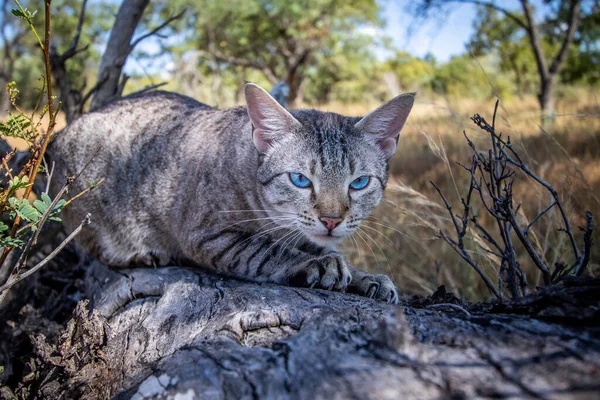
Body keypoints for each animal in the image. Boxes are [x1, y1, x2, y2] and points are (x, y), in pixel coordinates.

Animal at [49, 83, 414, 304]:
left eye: (359, 183)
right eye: (300, 179)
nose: (332, 219)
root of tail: (60, 135)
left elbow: (321, 248)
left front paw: (364, 276)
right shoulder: (209, 236)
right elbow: (269, 251)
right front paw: (319, 264)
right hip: (89, 210)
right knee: (92, 249)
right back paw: (139, 254)